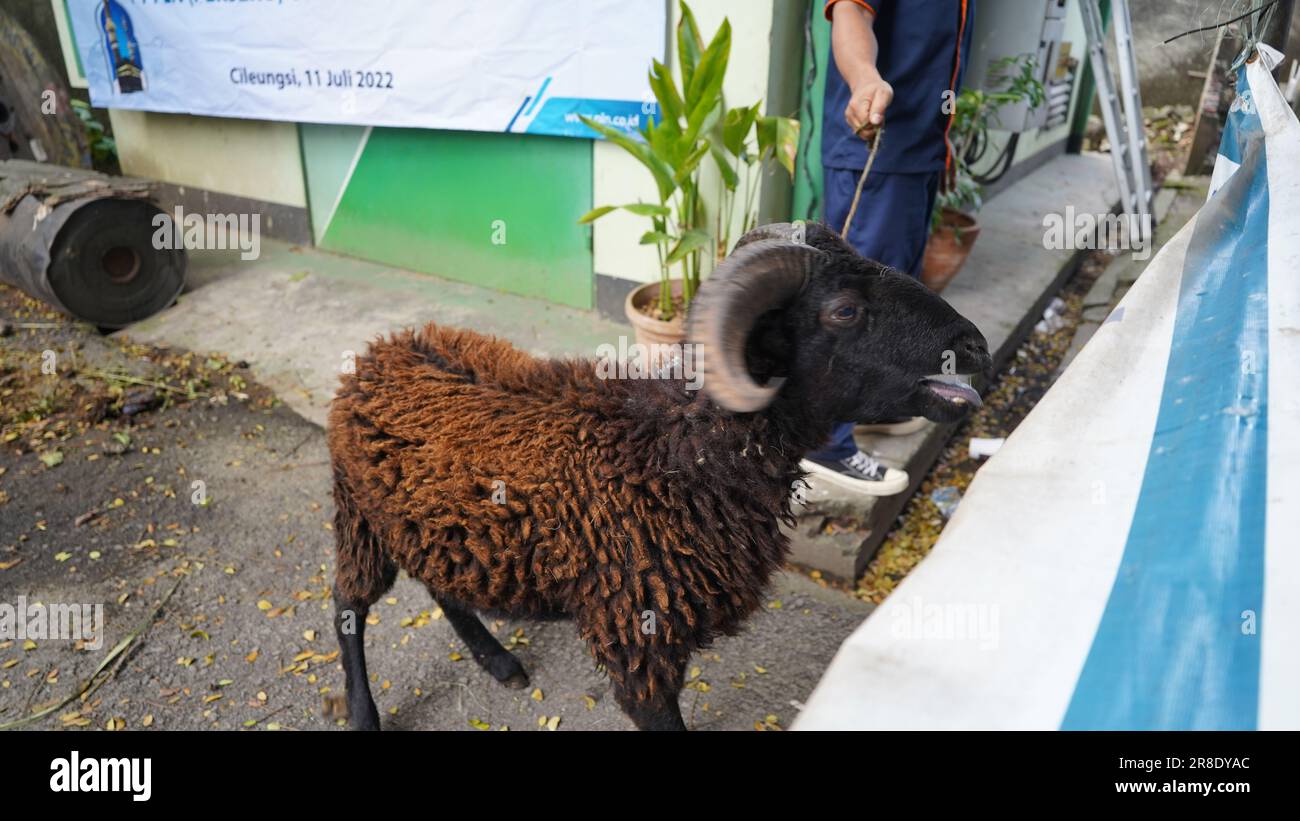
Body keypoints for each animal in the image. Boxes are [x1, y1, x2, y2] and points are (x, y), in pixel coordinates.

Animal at [326, 222, 992, 730]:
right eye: (845, 311)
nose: (975, 345)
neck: (676, 451)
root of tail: (380, 350)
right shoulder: (637, 634)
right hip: (360, 517)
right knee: (347, 606)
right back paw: (364, 714)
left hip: (432, 523)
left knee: (442, 586)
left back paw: (497, 661)